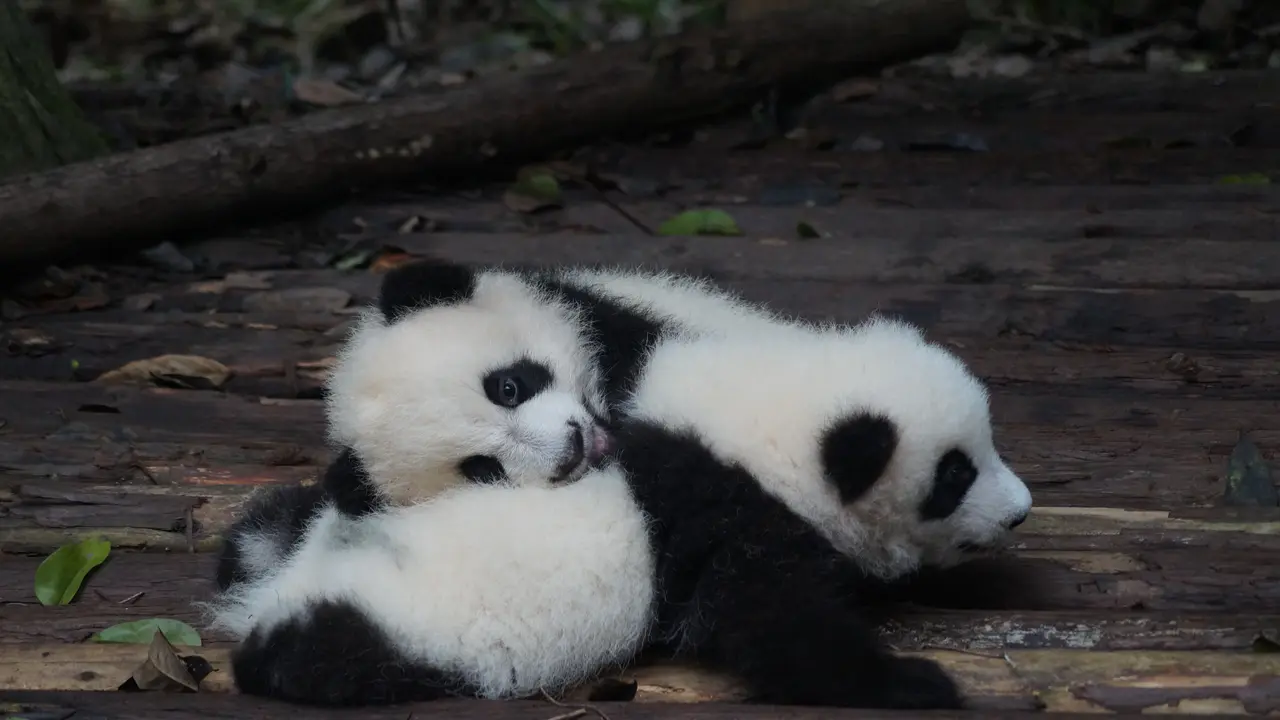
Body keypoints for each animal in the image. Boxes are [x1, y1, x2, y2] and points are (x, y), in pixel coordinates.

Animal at [205, 297, 1033, 710]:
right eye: (955, 476)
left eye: (989, 445)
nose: (1020, 510)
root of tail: (281, 588)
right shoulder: (731, 518)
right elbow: (775, 625)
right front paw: (915, 685)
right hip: (397, 627)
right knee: (327, 651)